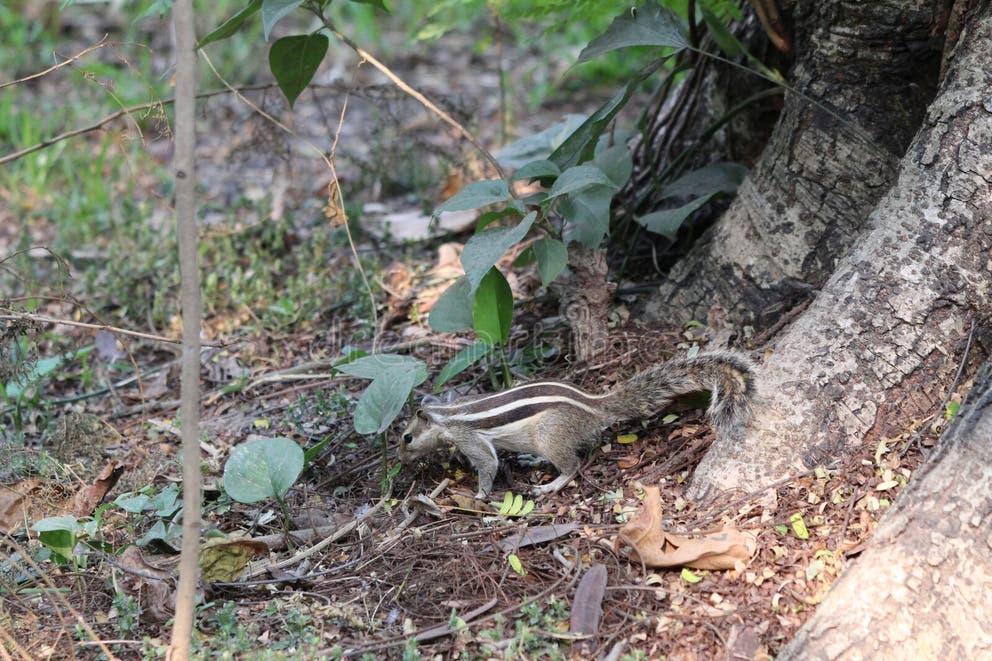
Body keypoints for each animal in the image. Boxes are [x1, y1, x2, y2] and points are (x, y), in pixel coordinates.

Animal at [398, 351, 756, 498]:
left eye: (406, 438)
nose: (401, 461)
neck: (448, 414)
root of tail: (594, 408)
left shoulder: (468, 436)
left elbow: (487, 464)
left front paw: (480, 495)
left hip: (550, 434)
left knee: (573, 466)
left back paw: (549, 485)